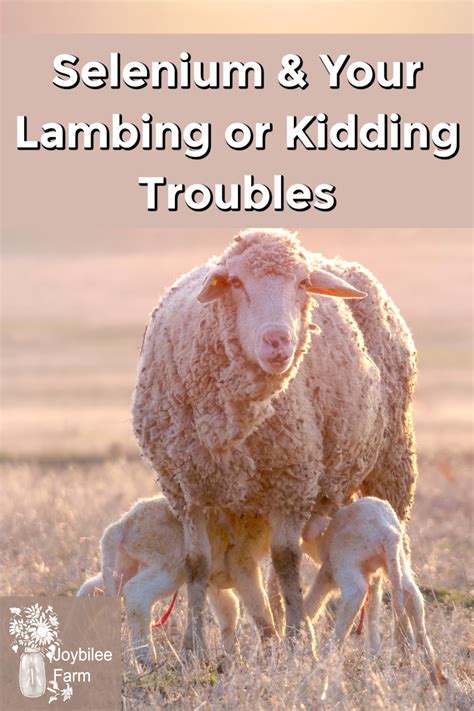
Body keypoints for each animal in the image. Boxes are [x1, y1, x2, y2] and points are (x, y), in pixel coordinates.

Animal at [77, 496, 275, 667]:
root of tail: (123, 524)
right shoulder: (241, 561)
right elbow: (259, 604)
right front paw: (273, 646)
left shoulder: (214, 577)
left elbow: (229, 611)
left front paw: (234, 659)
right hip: (170, 566)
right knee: (135, 594)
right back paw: (146, 659)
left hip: (123, 567)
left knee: (90, 588)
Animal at [132, 228, 418, 652]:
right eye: (235, 282)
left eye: (302, 283)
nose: (277, 341)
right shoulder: (188, 490)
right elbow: (197, 563)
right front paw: (193, 646)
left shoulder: (293, 481)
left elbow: (286, 559)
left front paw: (299, 640)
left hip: (394, 460)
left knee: (391, 564)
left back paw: (396, 642)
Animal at [301, 497, 446, 684]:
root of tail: (386, 532)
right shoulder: (371, 572)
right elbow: (374, 604)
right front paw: (375, 654)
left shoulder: (329, 569)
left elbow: (315, 598)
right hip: (398, 559)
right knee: (412, 595)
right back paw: (433, 672)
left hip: (345, 560)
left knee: (355, 593)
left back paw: (323, 662)